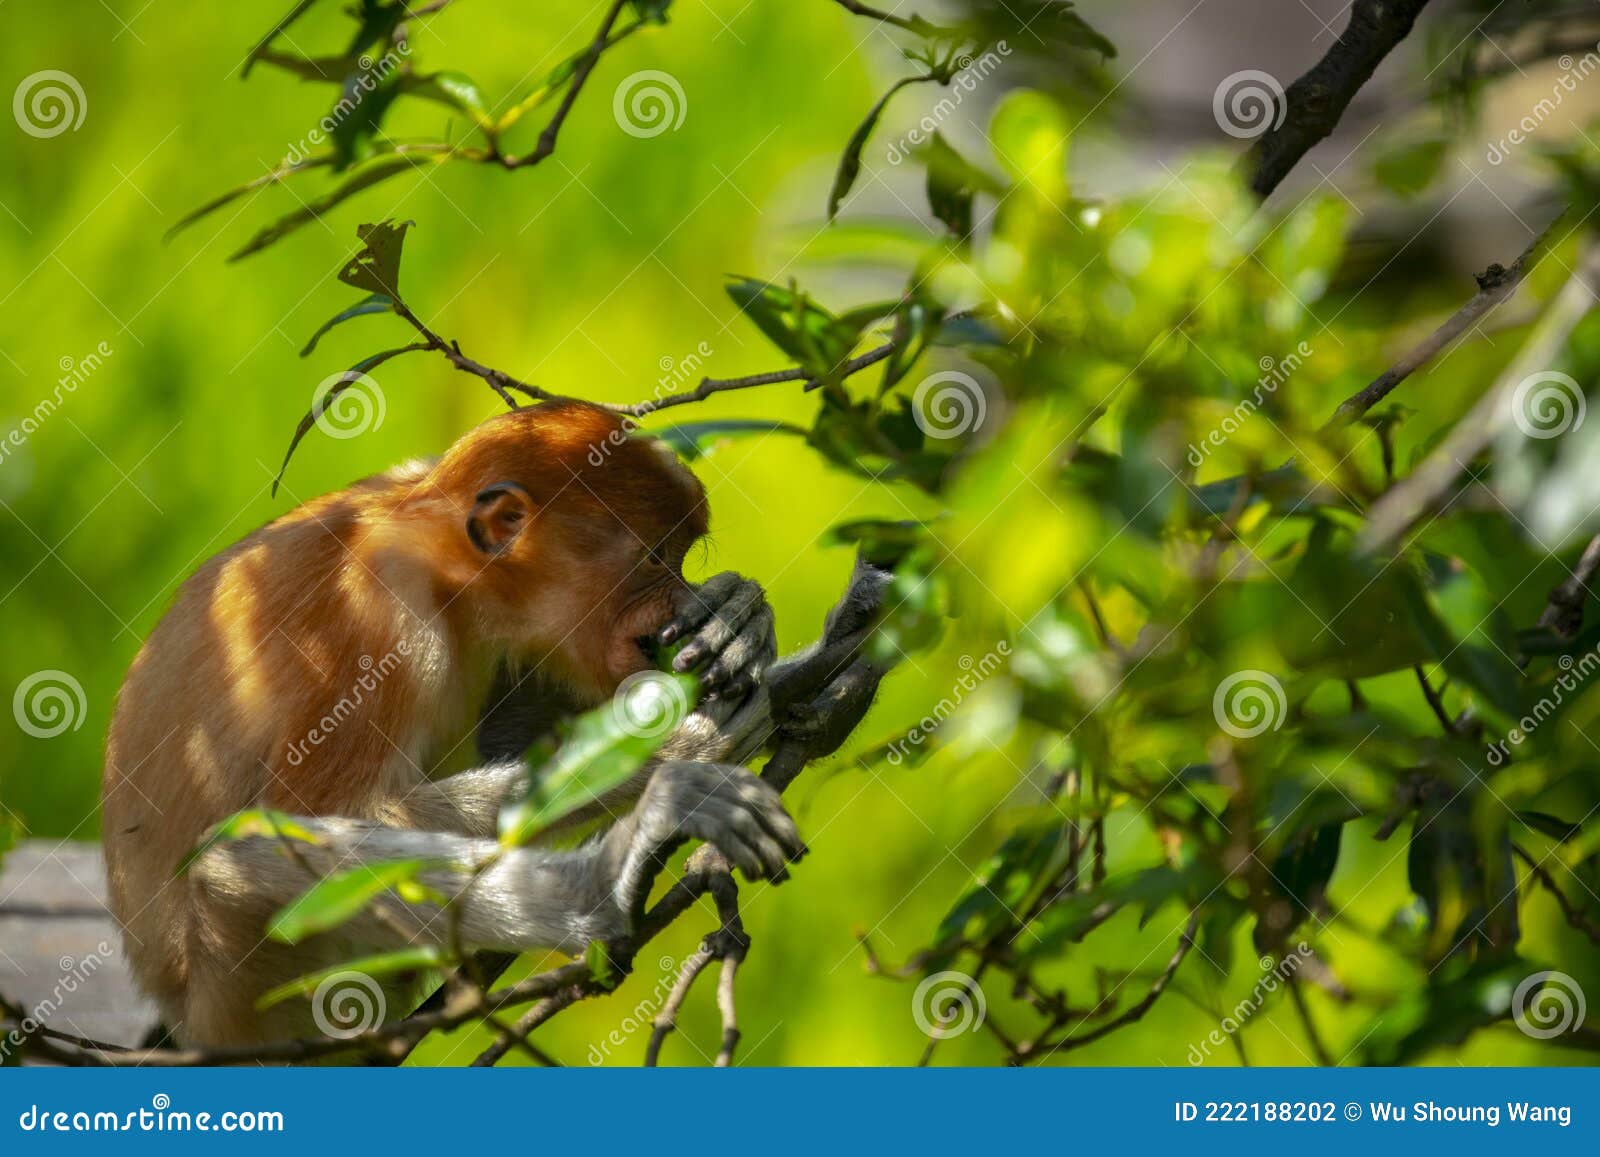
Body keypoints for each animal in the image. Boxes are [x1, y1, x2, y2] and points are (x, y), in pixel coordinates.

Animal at [101, 400, 805, 1048]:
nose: (683, 600)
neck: (443, 562)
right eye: (656, 558)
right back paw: (600, 885)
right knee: (237, 858)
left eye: (681, 556)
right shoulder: (371, 617)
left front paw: (738, 620)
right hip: (242, 985)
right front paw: (676, 747)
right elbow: (320, 811)